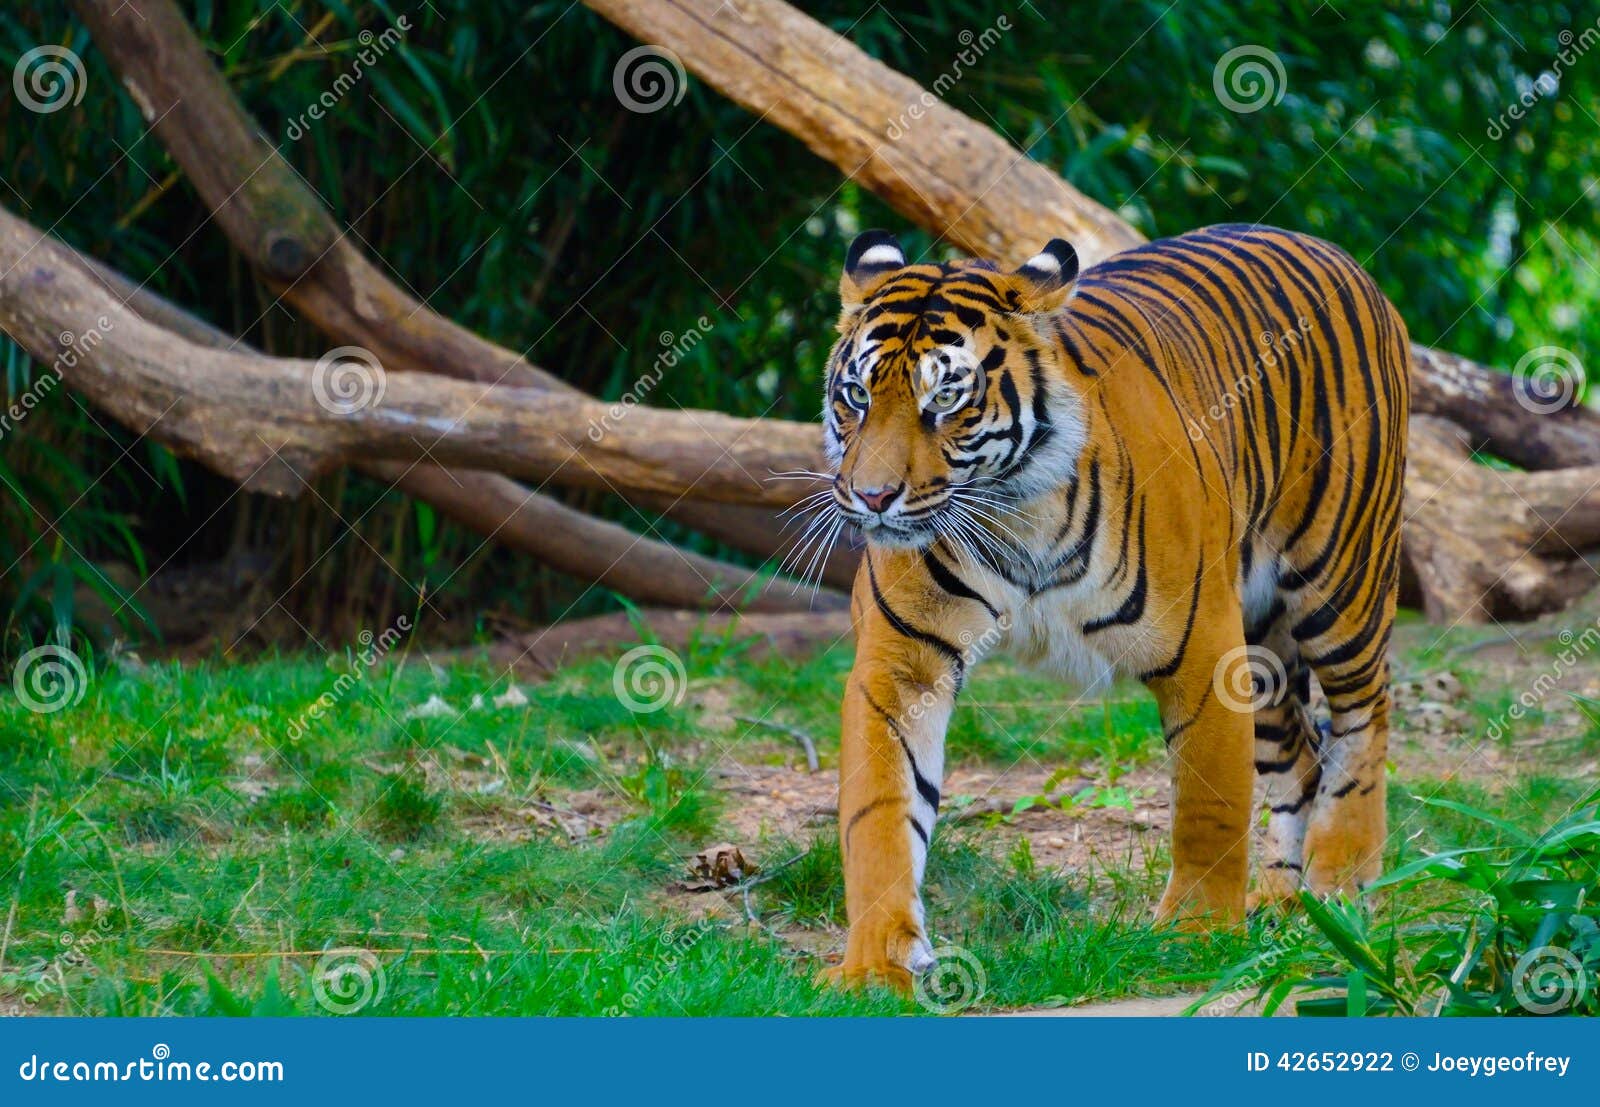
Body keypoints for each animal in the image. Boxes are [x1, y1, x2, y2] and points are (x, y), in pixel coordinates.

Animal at [817, 223, 1409, 989]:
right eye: (856, 394)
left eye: (945, 400)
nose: (872, 497)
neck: (1014, 513)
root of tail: (1328, 249)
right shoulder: (900, 668)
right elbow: (880, 814)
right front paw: (875, 963)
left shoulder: (1204, 650)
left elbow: (1209, 803)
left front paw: (1197, 933)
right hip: (1264, 645)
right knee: (1300, 759)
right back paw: (1286, 903)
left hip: (1339, 580)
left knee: (1364, 719)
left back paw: (1342, 886)